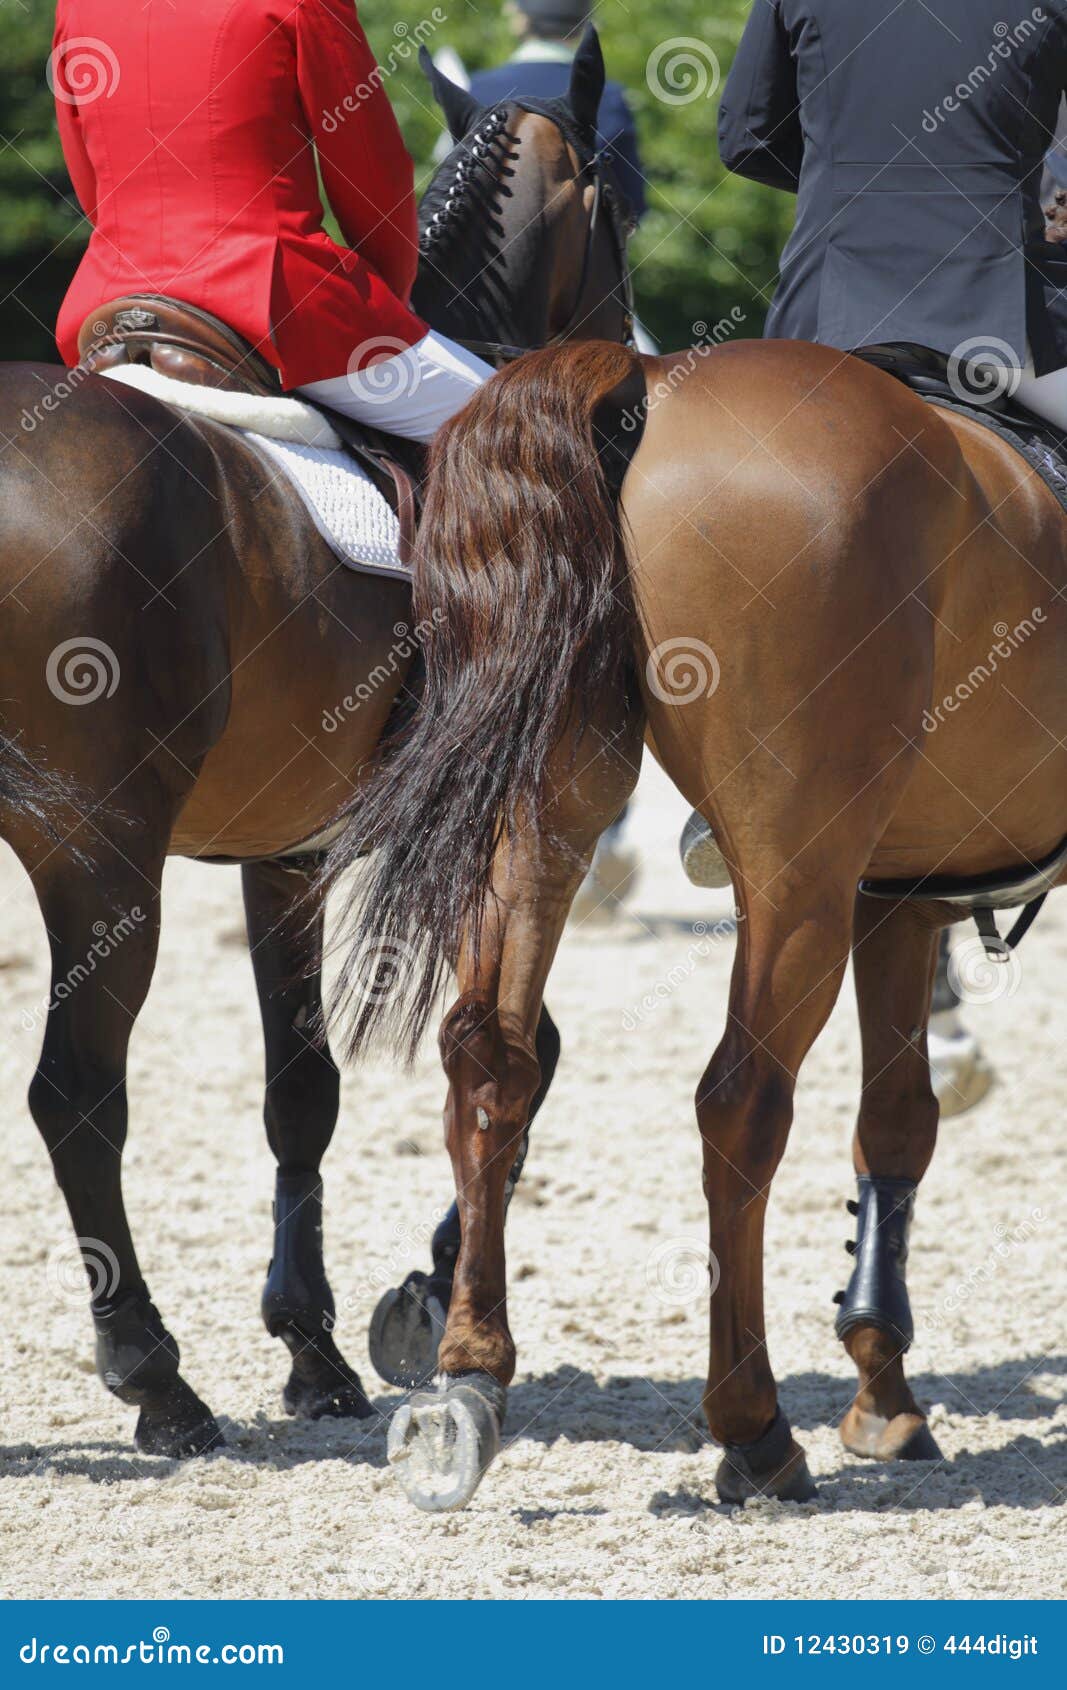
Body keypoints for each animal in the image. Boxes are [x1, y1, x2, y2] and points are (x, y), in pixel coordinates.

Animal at [0, 33, 631, 1458]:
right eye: (617, 206)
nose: (634, 371)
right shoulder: (501, 814)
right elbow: (514, 1047)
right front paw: (425, 1296)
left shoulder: (283, 848)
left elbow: (302, 1087)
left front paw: (314, 1346)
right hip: (96, 853)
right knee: (77, 1098)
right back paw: (156, 1381)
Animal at [325, 328, 1067, 1511]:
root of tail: (647, 381)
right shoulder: (869, 896)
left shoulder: (898, 897)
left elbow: (897, 1120)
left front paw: (884, 1391)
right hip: (794, 877)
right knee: (740, 1105)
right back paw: (753, 1429)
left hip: (547, 807)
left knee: (492, 1059)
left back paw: (468, 1383)